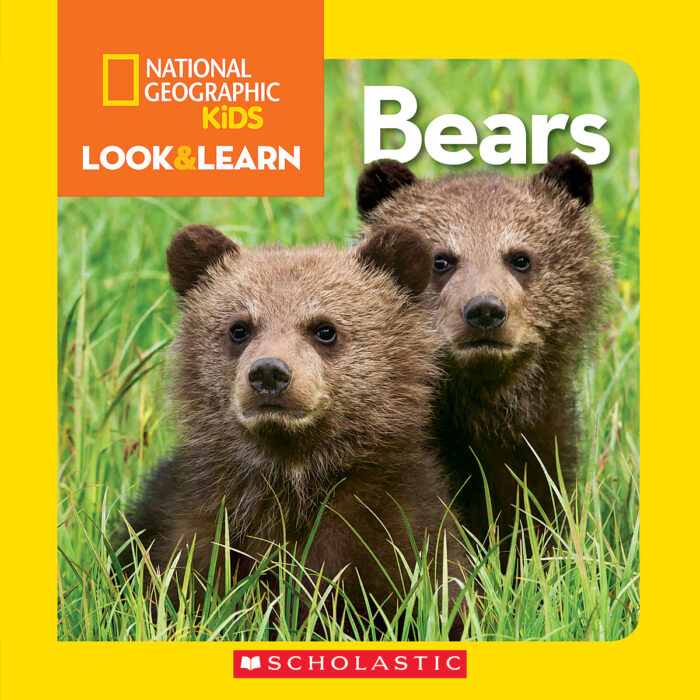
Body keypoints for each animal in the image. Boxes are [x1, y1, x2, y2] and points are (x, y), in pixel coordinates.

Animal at [118, 223, 468, 633]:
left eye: (325, 329)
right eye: (239, 328)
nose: (269, 372)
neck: (294, 476)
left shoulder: (397, 523)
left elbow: (438, 599)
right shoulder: (190, 525)